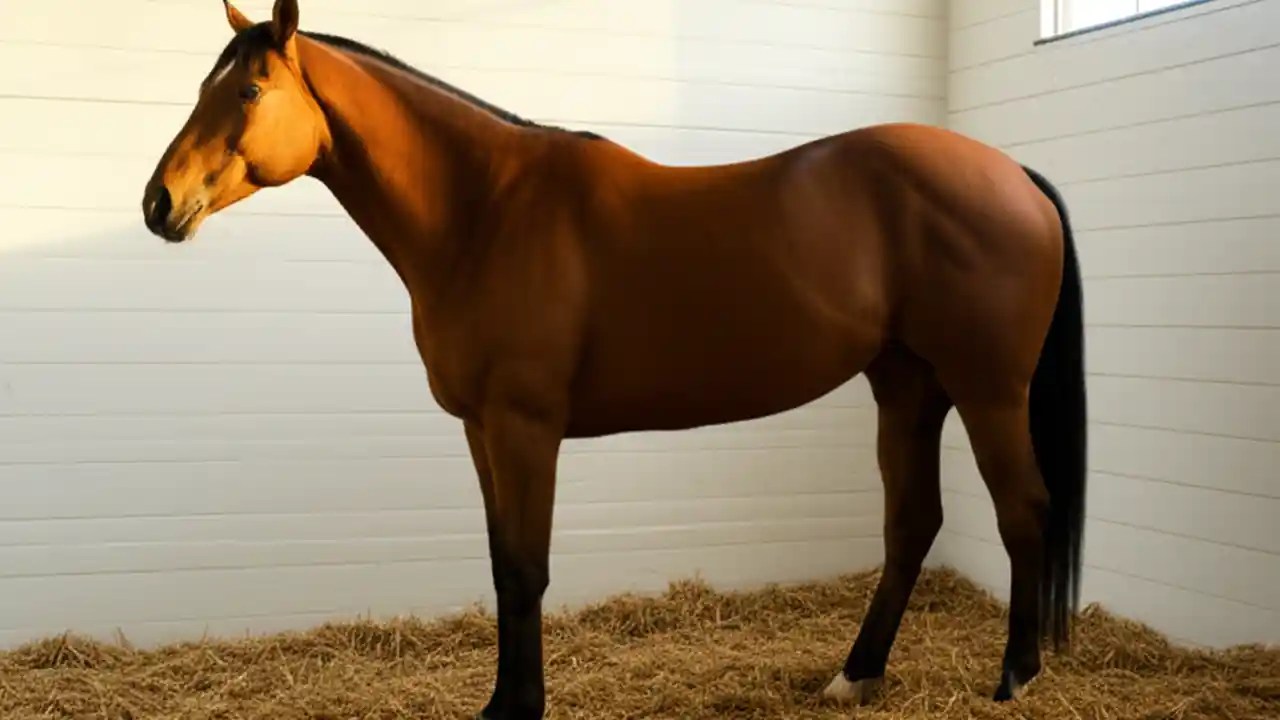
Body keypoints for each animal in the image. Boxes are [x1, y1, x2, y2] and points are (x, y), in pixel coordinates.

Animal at [140, 1, 1087, 717]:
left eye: (250, 88)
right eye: (203, 87)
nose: (158, 203)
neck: (484, 210)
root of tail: (1016, 177)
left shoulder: (525, 428)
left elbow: (527, 569)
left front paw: (520, 708)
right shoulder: (482, 432)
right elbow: (502, 566)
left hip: (988, 391)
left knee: (1022, 512)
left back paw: (1016, 677)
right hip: (907, 387)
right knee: (911, 523)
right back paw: (857, 676)